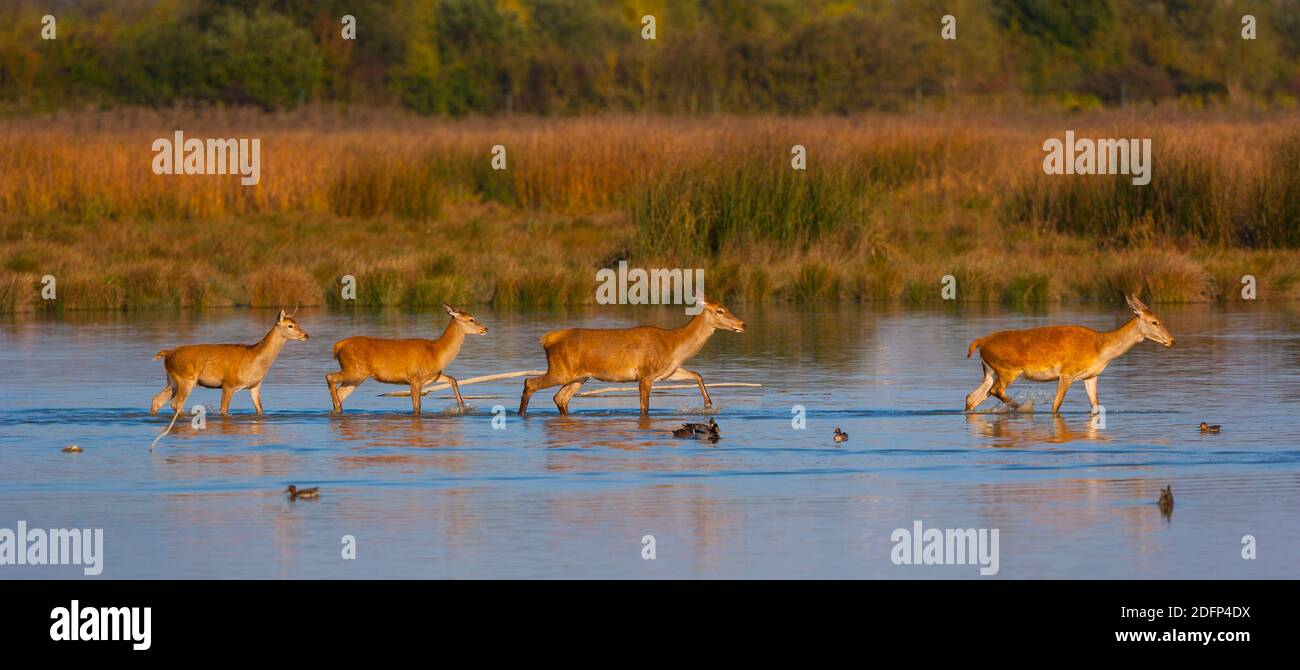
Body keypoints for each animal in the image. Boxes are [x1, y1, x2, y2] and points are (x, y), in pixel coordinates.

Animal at [150, 309, 310, 416]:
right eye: (289, 325)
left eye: (297, 323)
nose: (306, 335)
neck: (255, 357)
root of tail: (168, 353)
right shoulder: (228, 384)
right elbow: (224, 410)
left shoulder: (255, 386)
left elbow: (260, 409)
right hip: (186, 379)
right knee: (176, 404)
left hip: (172, 381)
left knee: (157, 400)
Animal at [327, 304, 488, 415]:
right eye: (471, 319)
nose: (485, 329)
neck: (436, 352)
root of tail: (338, 346)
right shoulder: (415, 379)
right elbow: (417, 407)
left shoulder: (432, 376)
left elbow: (452, 379)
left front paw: (462, 406)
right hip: (355, 369)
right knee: (330, 377)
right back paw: (338, 408)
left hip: (356, 377)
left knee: (340, 392)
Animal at [519, 297, 746, 416]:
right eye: (720, 310)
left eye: (727, 307)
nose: (743, 324)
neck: (675, 346)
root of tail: (547, 340)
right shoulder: (645, 374)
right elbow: (644, 408)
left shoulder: (667, 372)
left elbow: (697, 374)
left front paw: (708, 403)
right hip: (560, 370)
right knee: (530, 382)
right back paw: (521, 414)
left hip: (579, 377)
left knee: (560, 398)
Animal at [964, 294, 1174, 415]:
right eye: (1155, 322)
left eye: (1160, 320)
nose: (1172, 340)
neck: (1100, 348)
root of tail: (980, 342)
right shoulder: (1067, 373)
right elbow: (1056, 405)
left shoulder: (1091, 376)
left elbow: (1095, 405)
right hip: (1008, 369)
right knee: (996, 391)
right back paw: (1024, 407)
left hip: (990, 372)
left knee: (972, 397)